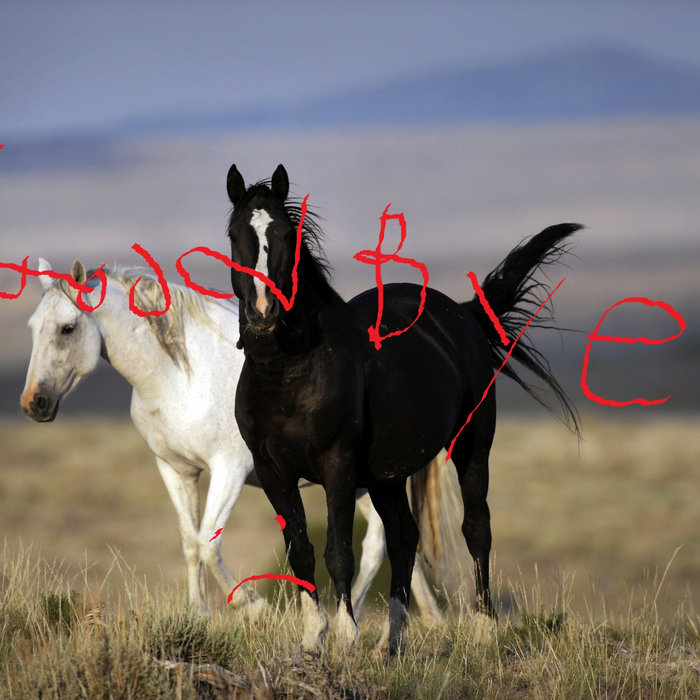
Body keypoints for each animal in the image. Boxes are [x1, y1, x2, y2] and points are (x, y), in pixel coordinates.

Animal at [20, 259, 449, 622]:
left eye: (67, 328)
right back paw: (423, 623)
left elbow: (209, 545)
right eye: (33, 327)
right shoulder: (176, 470)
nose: (33, 403)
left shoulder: (229, 470)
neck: (183, 376)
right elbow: (190, 543)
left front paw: (254, 609)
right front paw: (198, 618)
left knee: (378, 543)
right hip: (361, 482)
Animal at [225, 163, 580, 655]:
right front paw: (314, 639)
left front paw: (346, 637)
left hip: (471, 447)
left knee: (477, 528)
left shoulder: (336, 465)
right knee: (404, 536)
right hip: (386, 475)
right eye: (234, 234)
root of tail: (464, 314)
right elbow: (301, 550)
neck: (290, 373)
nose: (264, 312)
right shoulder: (273, 470)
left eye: (283, 234)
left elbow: (338, 550)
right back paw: (391, 643)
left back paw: (483, 630)